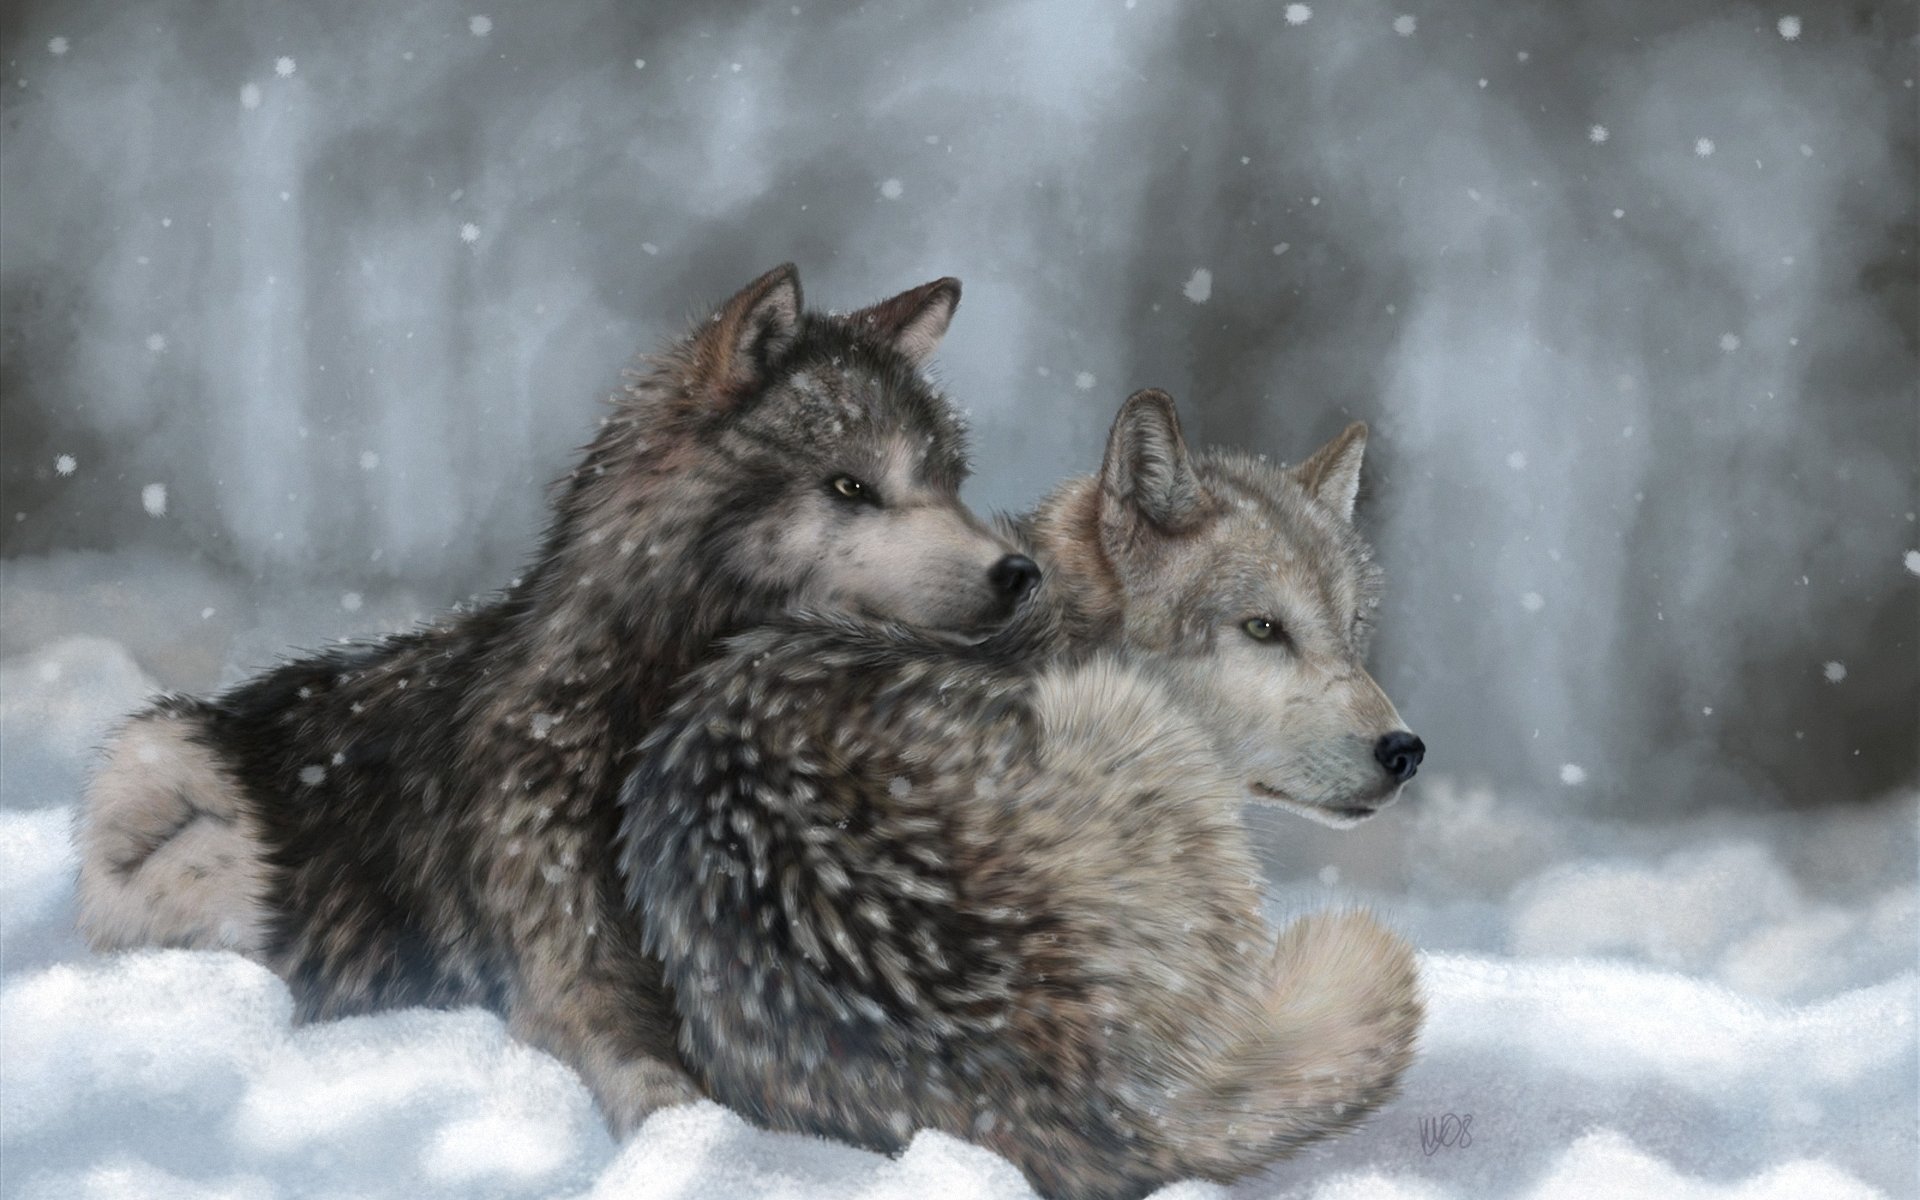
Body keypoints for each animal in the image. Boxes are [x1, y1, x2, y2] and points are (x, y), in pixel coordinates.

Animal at [74, 263, 1042, 1129]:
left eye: (949, 482)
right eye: (851, 486)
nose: (1022, 573)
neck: (638, 711)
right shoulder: (568, 993)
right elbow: (663, 1100)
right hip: (158, 765)